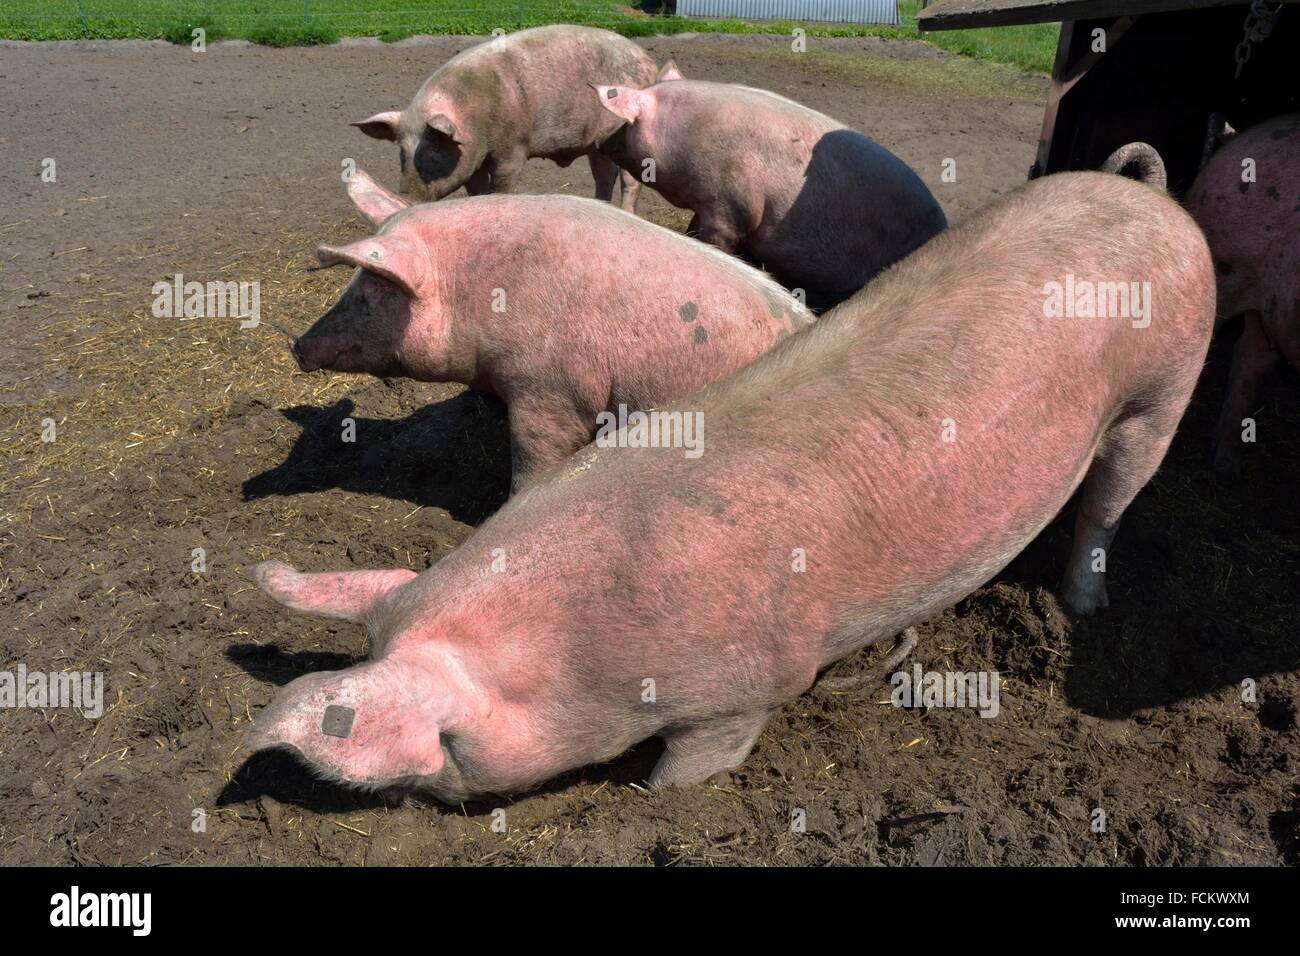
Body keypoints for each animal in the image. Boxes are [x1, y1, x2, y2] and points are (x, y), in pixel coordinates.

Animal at [353, 25, 662, 211]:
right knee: (604, 174)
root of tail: (649, 61)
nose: (406, 199)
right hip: (597, 142)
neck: (473, 117)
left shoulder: (513, 149)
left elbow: (500, 187)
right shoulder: (472, 161)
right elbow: (476, 191)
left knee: (630, 180)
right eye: (401, 152)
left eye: (436, 148)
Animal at [591, 75, 948, 309]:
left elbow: (718, 239)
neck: (686, 136)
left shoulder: (728, 207)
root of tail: (942, 224)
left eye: (627, 123)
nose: (601, 141)